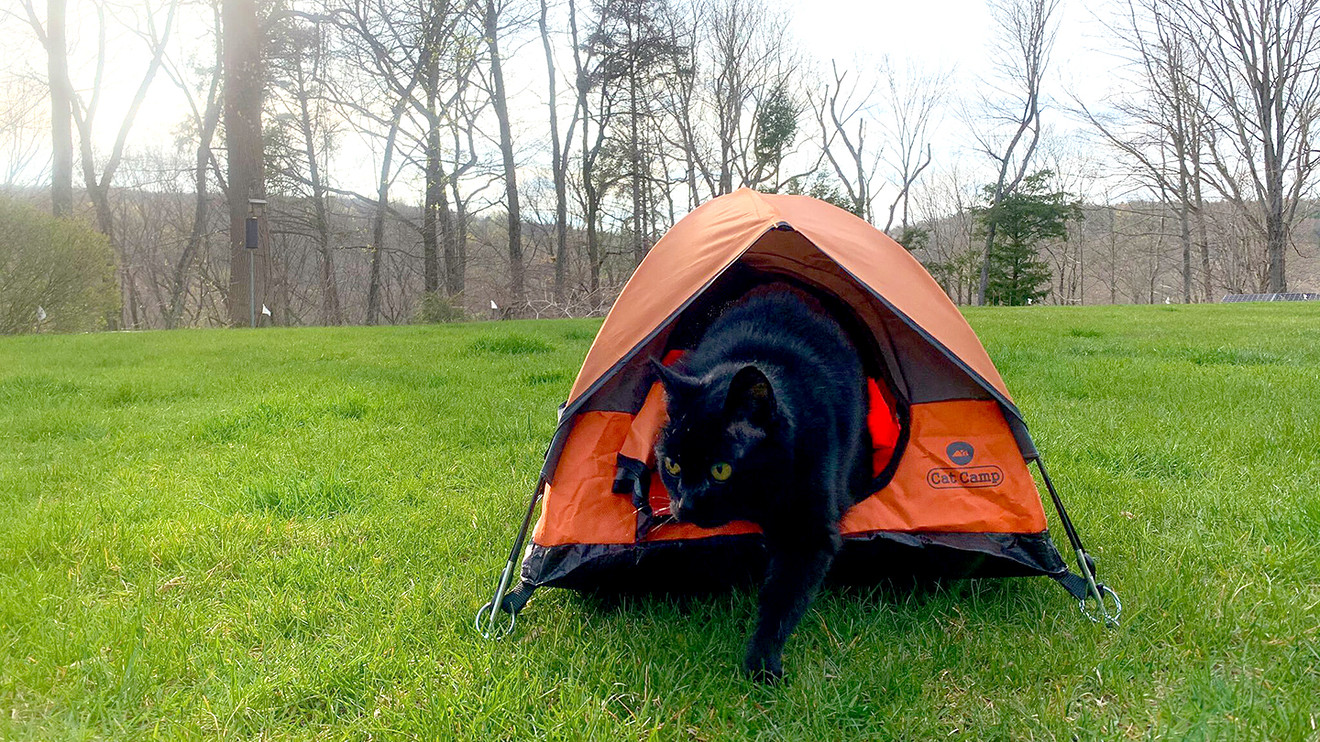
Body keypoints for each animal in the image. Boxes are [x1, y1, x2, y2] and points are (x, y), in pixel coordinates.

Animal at [652, 286, 876, 681]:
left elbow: (781, 601)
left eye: (721, 470)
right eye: (672, 465)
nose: (686, 505)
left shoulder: (809, 531)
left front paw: (761, 666)